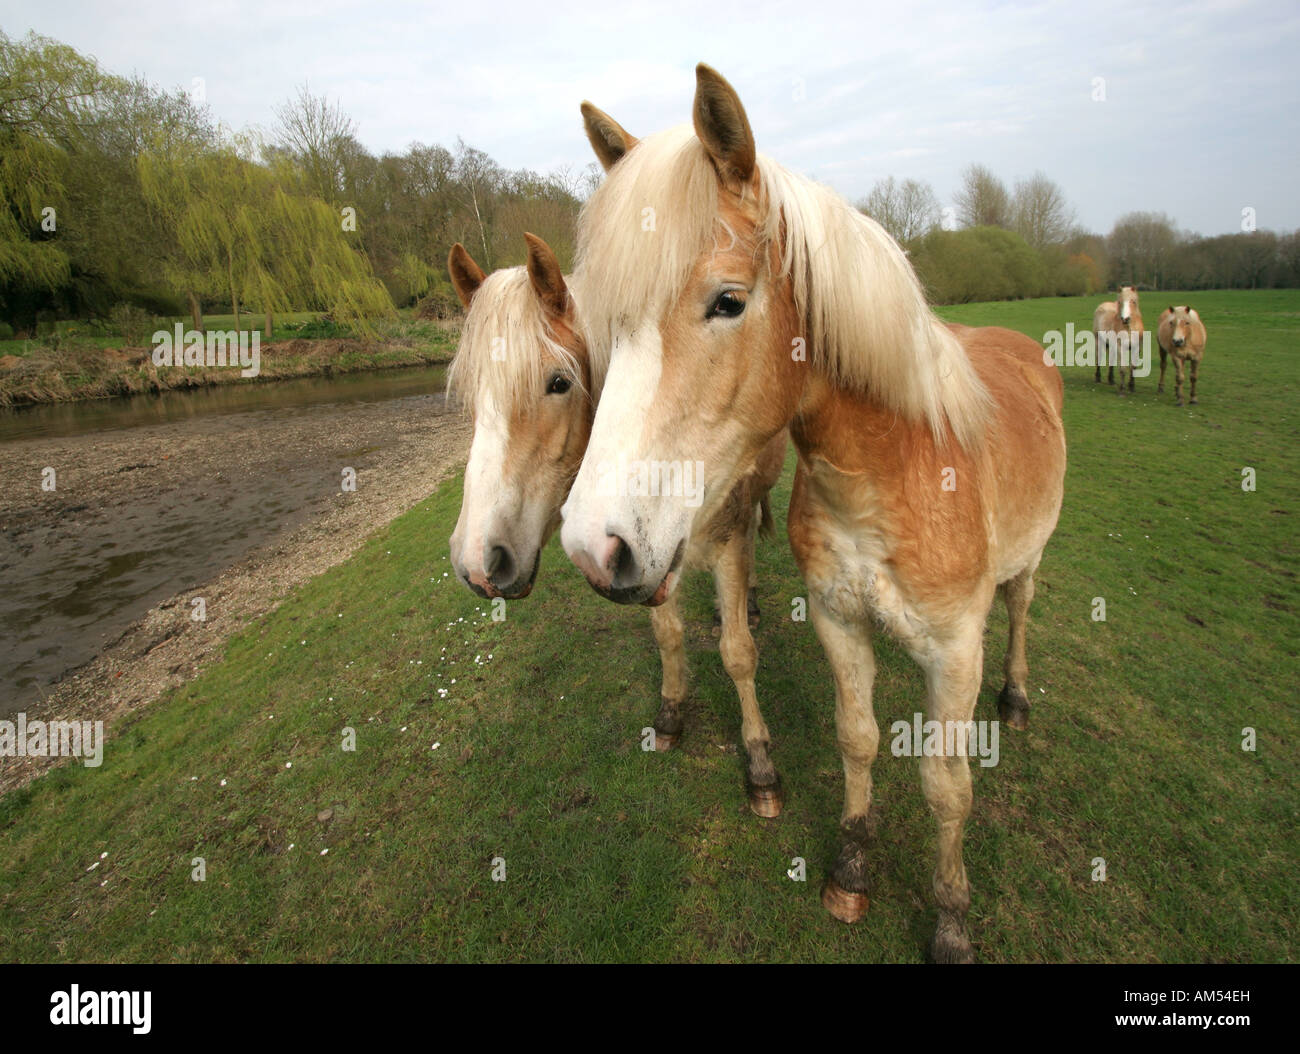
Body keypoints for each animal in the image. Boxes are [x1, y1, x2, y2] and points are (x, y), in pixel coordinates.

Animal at [445, 234, 790, 816]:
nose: (477, 561)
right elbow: (668, 634)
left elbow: (739, 655)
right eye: (471, 395)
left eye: (558, 382)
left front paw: (760, 762)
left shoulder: (726, 543)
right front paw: (671, 715)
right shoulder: (642, 559)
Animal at [559, 65, 1066, 963]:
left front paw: (951, 919)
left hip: (1023, 573)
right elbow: (856, 737)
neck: (890, 472)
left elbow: (947, 787)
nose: (595, 548)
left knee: (1020, 612)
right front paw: (853, 868)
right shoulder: (839, 618)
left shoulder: (953, 655)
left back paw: (1014, 697)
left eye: (728, 301)